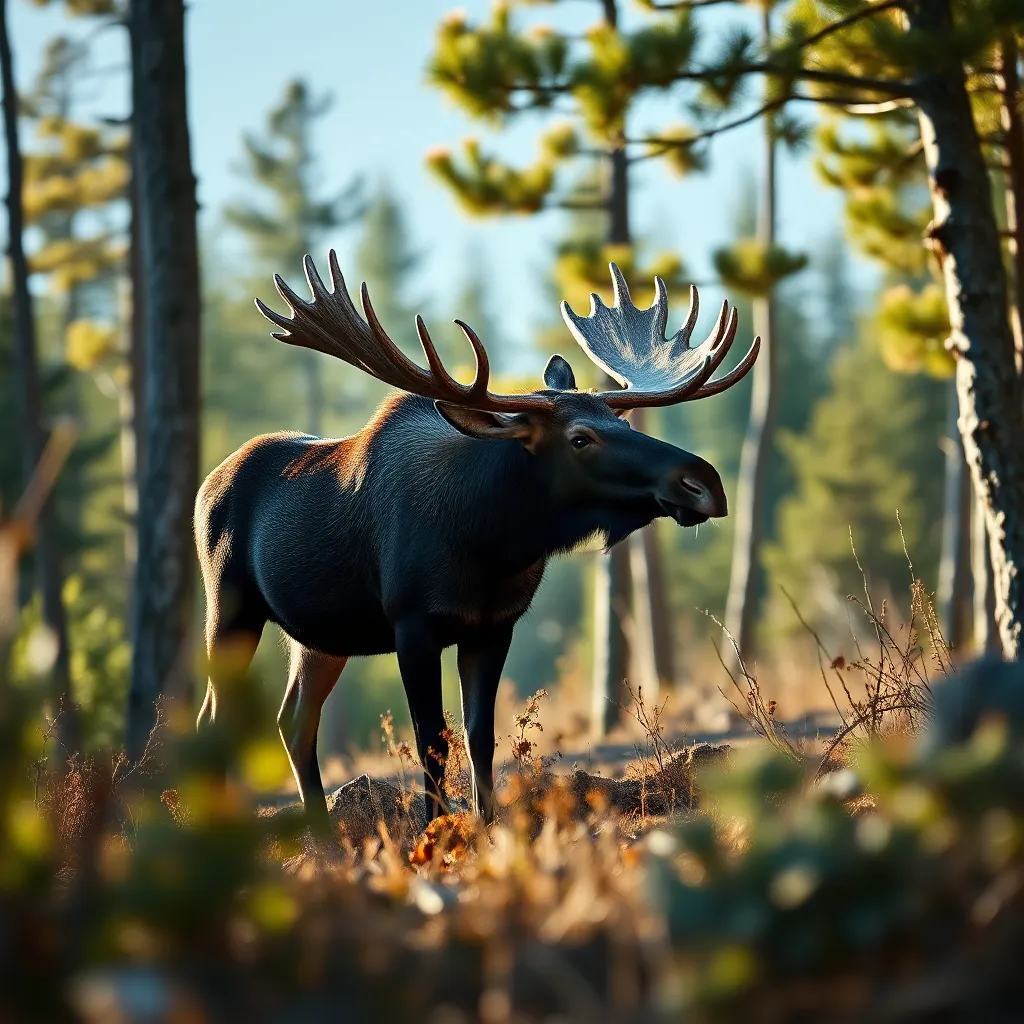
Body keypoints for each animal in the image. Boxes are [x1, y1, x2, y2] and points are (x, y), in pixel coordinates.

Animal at [194, 251, 759, 825]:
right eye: (581, 438)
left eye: (622, 422)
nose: (704, 483)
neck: (491, 548)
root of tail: (207, 483)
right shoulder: (412, 622)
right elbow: (431, 741)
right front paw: (436, 831)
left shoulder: (494, 626)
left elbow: (478, 737)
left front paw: (488, 830)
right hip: (229, 606)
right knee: (213, 720)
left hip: (318, 638)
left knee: (294, 719)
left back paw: (324, 833)